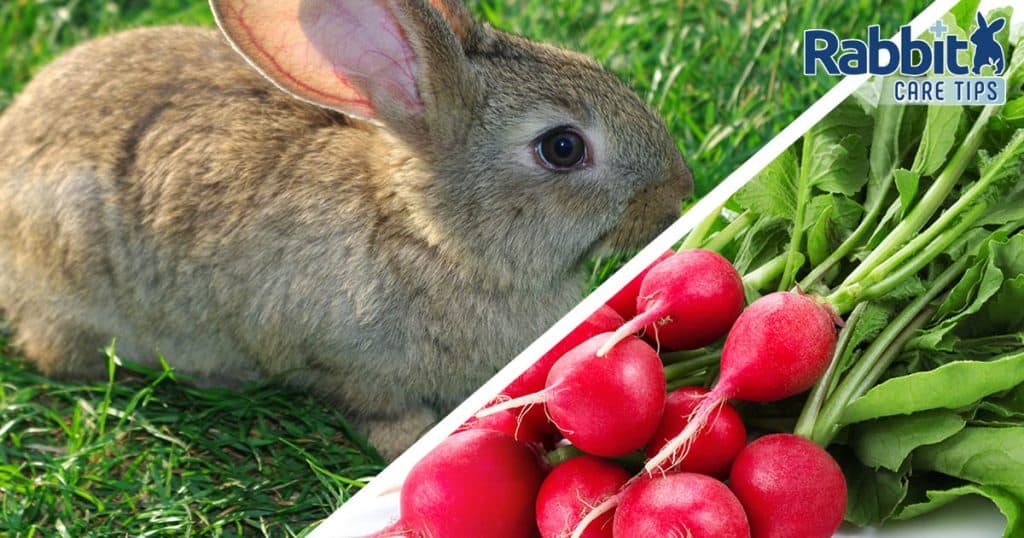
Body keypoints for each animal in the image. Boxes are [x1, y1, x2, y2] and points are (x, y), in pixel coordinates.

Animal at [0, 0, 691, 458]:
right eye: (563, 148)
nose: (680, 191)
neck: (432, 235)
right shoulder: (345, 362)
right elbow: (380, 412)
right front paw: (412, 441)